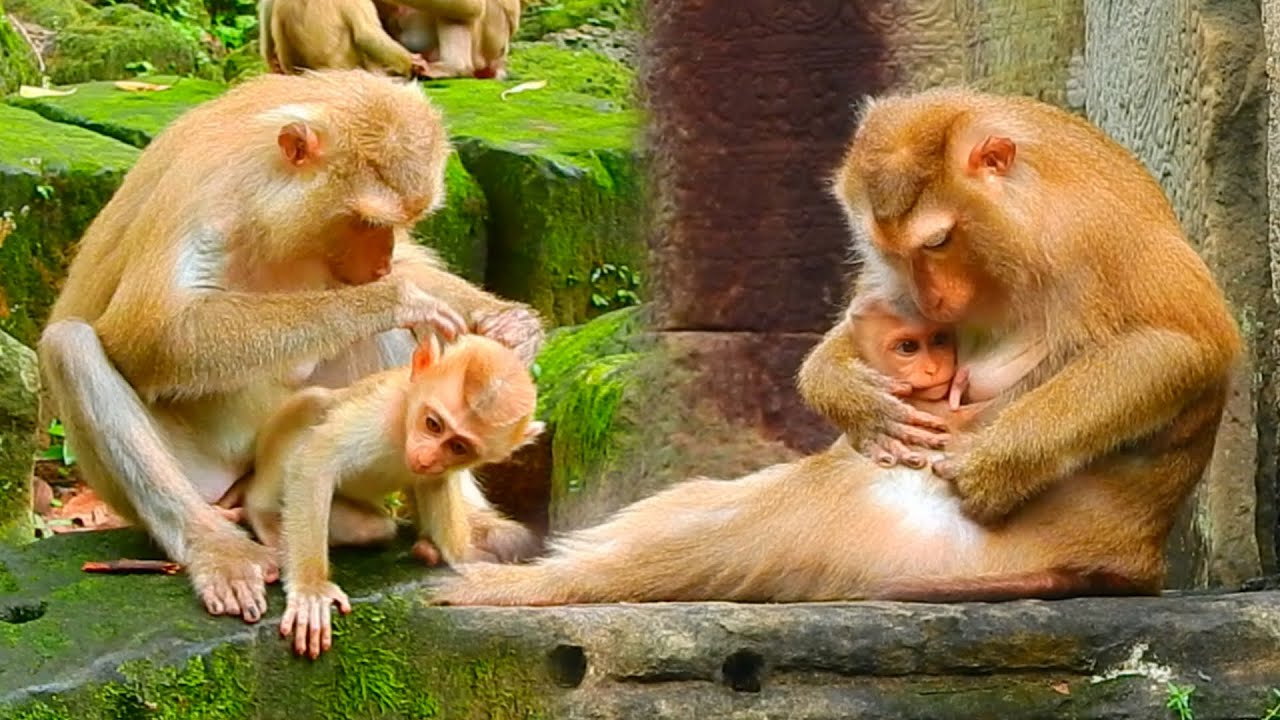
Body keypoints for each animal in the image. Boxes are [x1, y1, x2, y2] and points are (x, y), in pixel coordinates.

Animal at [37, 69, 545, 624]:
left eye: (401, 224)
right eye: (368, 222)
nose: (379, 267)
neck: (265, 190)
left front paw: (508, 323)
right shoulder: (204, 189)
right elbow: (151, 332)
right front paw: (395, 298)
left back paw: (468, 526)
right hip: (199, 475)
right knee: (70, 344)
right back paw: (218, 548)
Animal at [245, 333, 542, 658]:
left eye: (459, 447)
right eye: (433, 424)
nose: (426, 458)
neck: (404, 422)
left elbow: (435, 484)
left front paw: (463, 556)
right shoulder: (377, 412)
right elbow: (315, 462)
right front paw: (311, 589)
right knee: (315, 403)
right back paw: (260, 511)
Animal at [428, 86, 1240, 607]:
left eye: (938, 241)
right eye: (892, 249)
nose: (933, 302)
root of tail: (1128, 561)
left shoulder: (1091, 227)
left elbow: (1186, 345)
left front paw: (996, 465)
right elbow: (856, 322)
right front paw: (855, 398)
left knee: (744, 535)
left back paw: (538, 584)